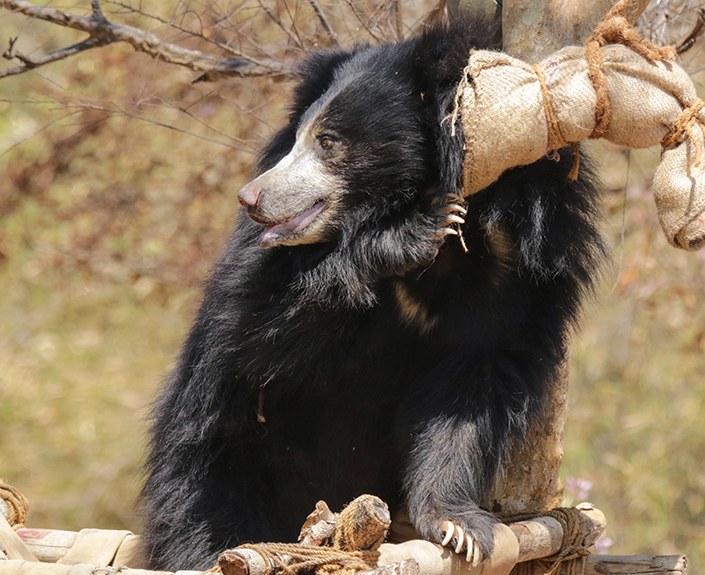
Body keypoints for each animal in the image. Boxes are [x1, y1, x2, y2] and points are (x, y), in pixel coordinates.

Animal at [140, 19, 606, 572]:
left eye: (328, 141)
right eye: (295, 139)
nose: (251, 198)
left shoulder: (519, 268)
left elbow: (470, 388)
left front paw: (460, 528)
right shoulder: (268, 281)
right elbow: (254, 336)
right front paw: (414, 232)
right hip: (217, 448)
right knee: (200, 506)